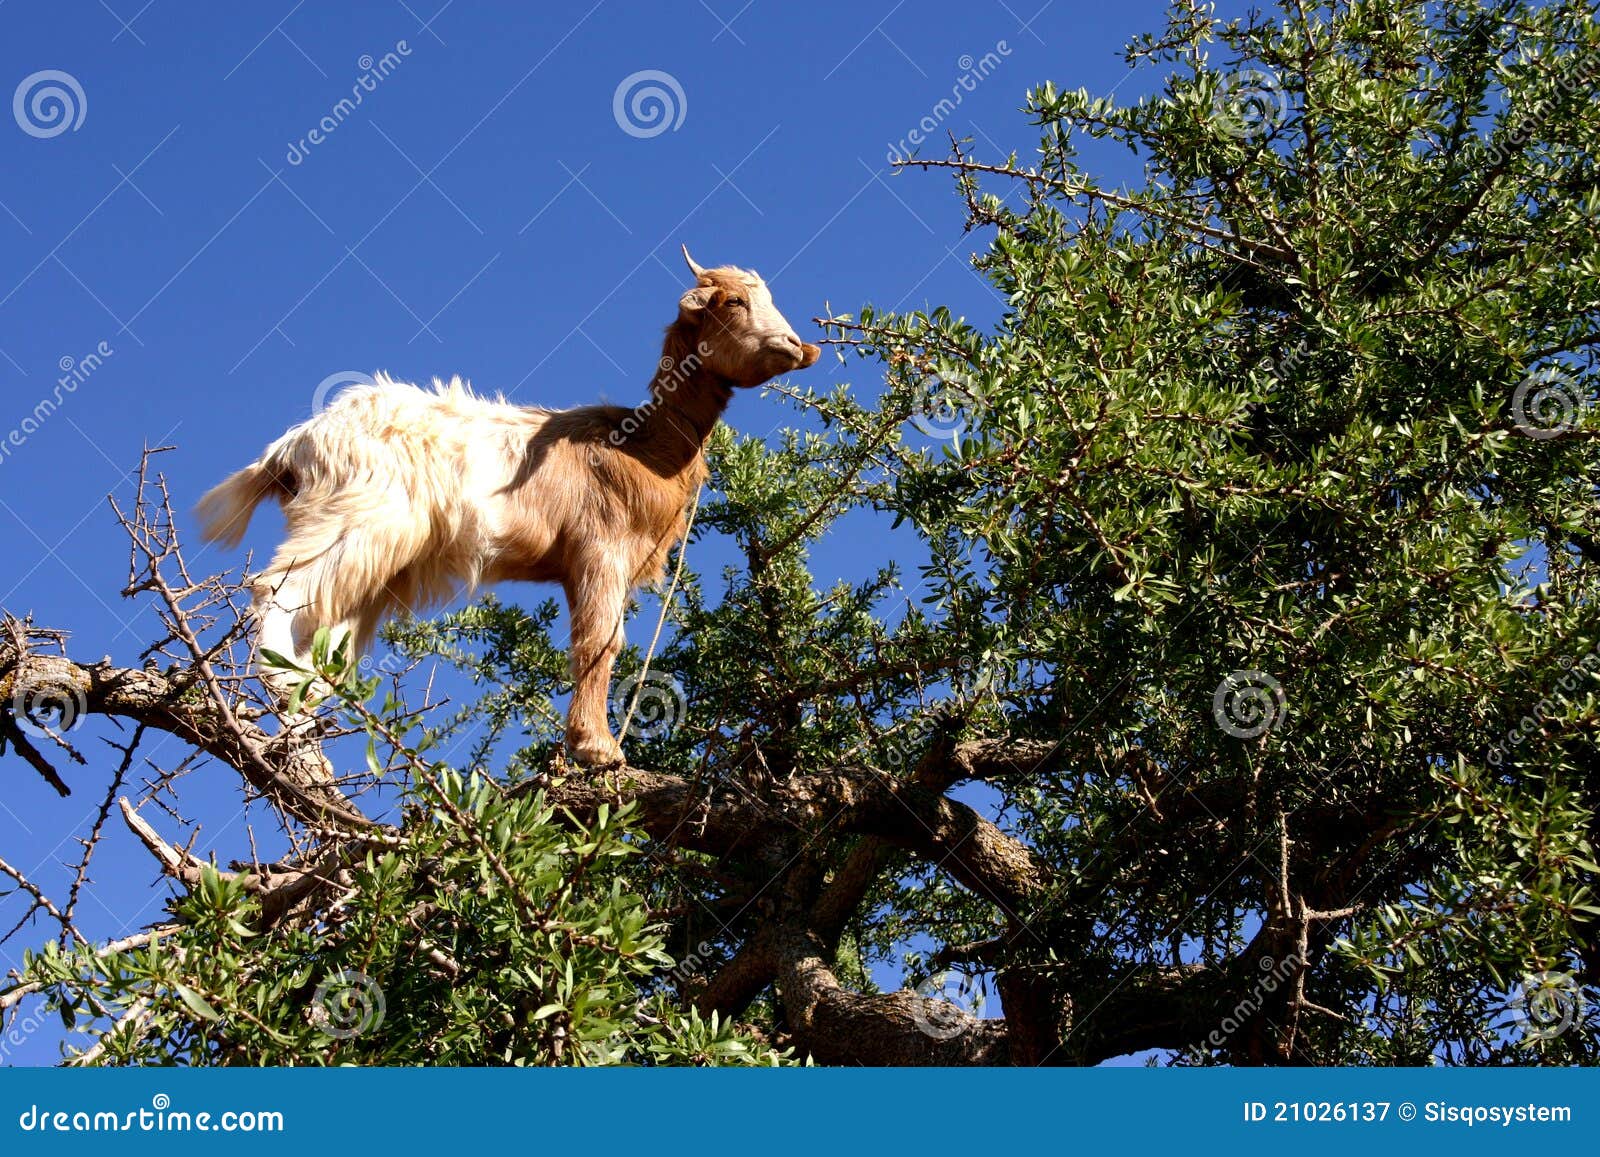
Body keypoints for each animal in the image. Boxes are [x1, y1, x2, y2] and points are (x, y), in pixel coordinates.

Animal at [196, 246, 820, 765]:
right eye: (734, 301)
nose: (798, 347)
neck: (642, 443)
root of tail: (295, 443)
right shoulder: (599, 550)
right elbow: (600, 641)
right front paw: (597, 749)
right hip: (356, 518)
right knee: (278, 588)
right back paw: (282, 685)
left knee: (323, 630)